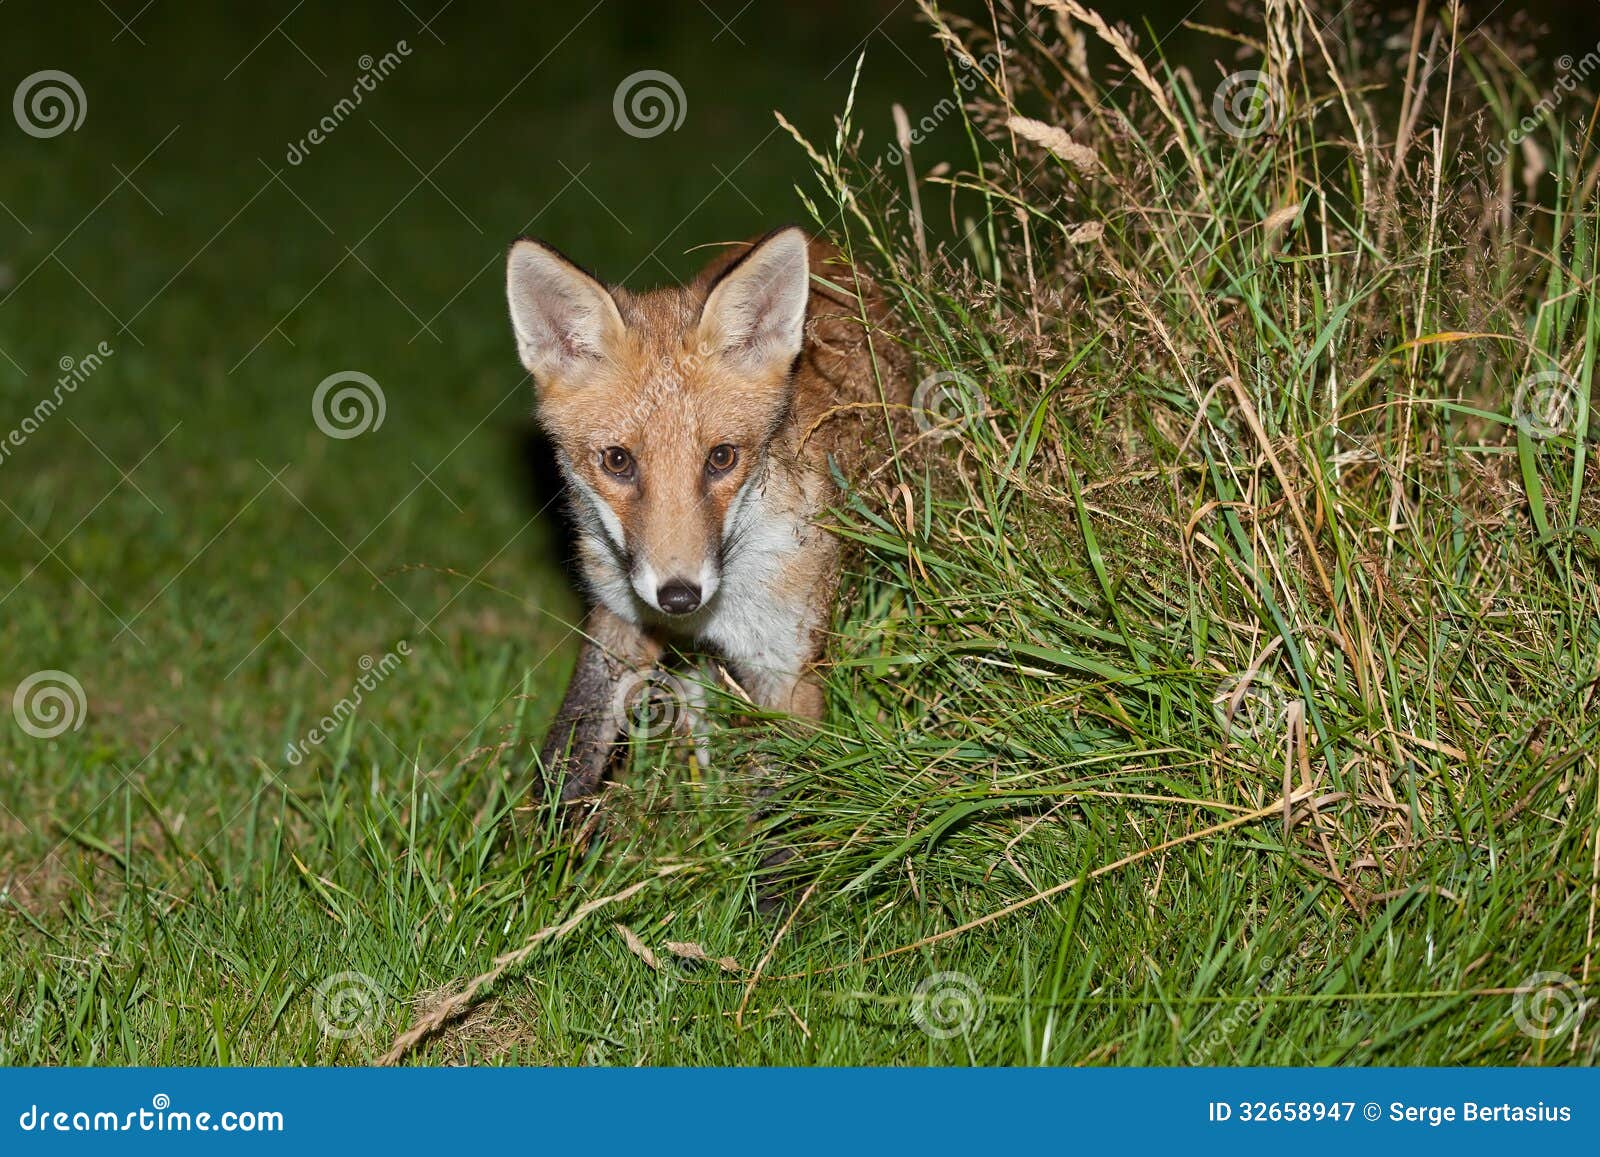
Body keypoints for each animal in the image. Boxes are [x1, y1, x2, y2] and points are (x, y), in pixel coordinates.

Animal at [504, 226, 907, 803]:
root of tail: (821, 241)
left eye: (722, 458)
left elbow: (778, 809)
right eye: (618, 461)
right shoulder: (618, 622)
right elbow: (568, 761)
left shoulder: (787, 672)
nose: (679, 596)